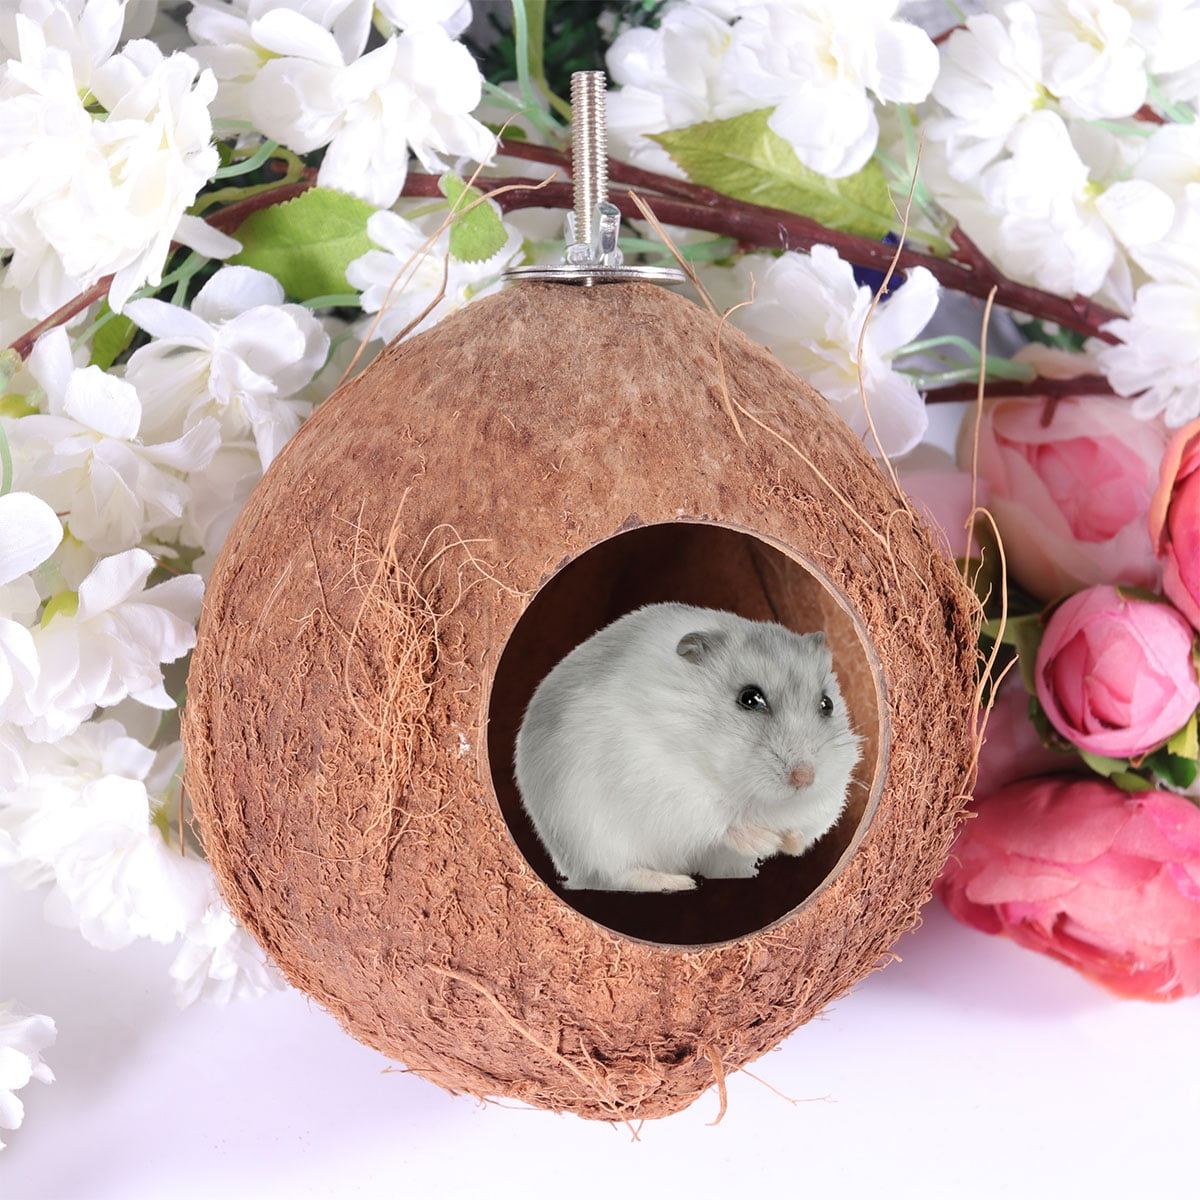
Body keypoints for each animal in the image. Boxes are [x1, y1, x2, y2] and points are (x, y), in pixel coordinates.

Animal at [513, 602, 862, 892]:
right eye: (749, 698)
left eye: (827, 704)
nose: (804, 778)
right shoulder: (664, 783)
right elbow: (720, 818)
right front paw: (763, 839)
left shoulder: (827, 795)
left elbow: (806, 822)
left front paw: (788, 840)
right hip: (592, 839)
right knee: (615, 875)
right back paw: (677, 882)